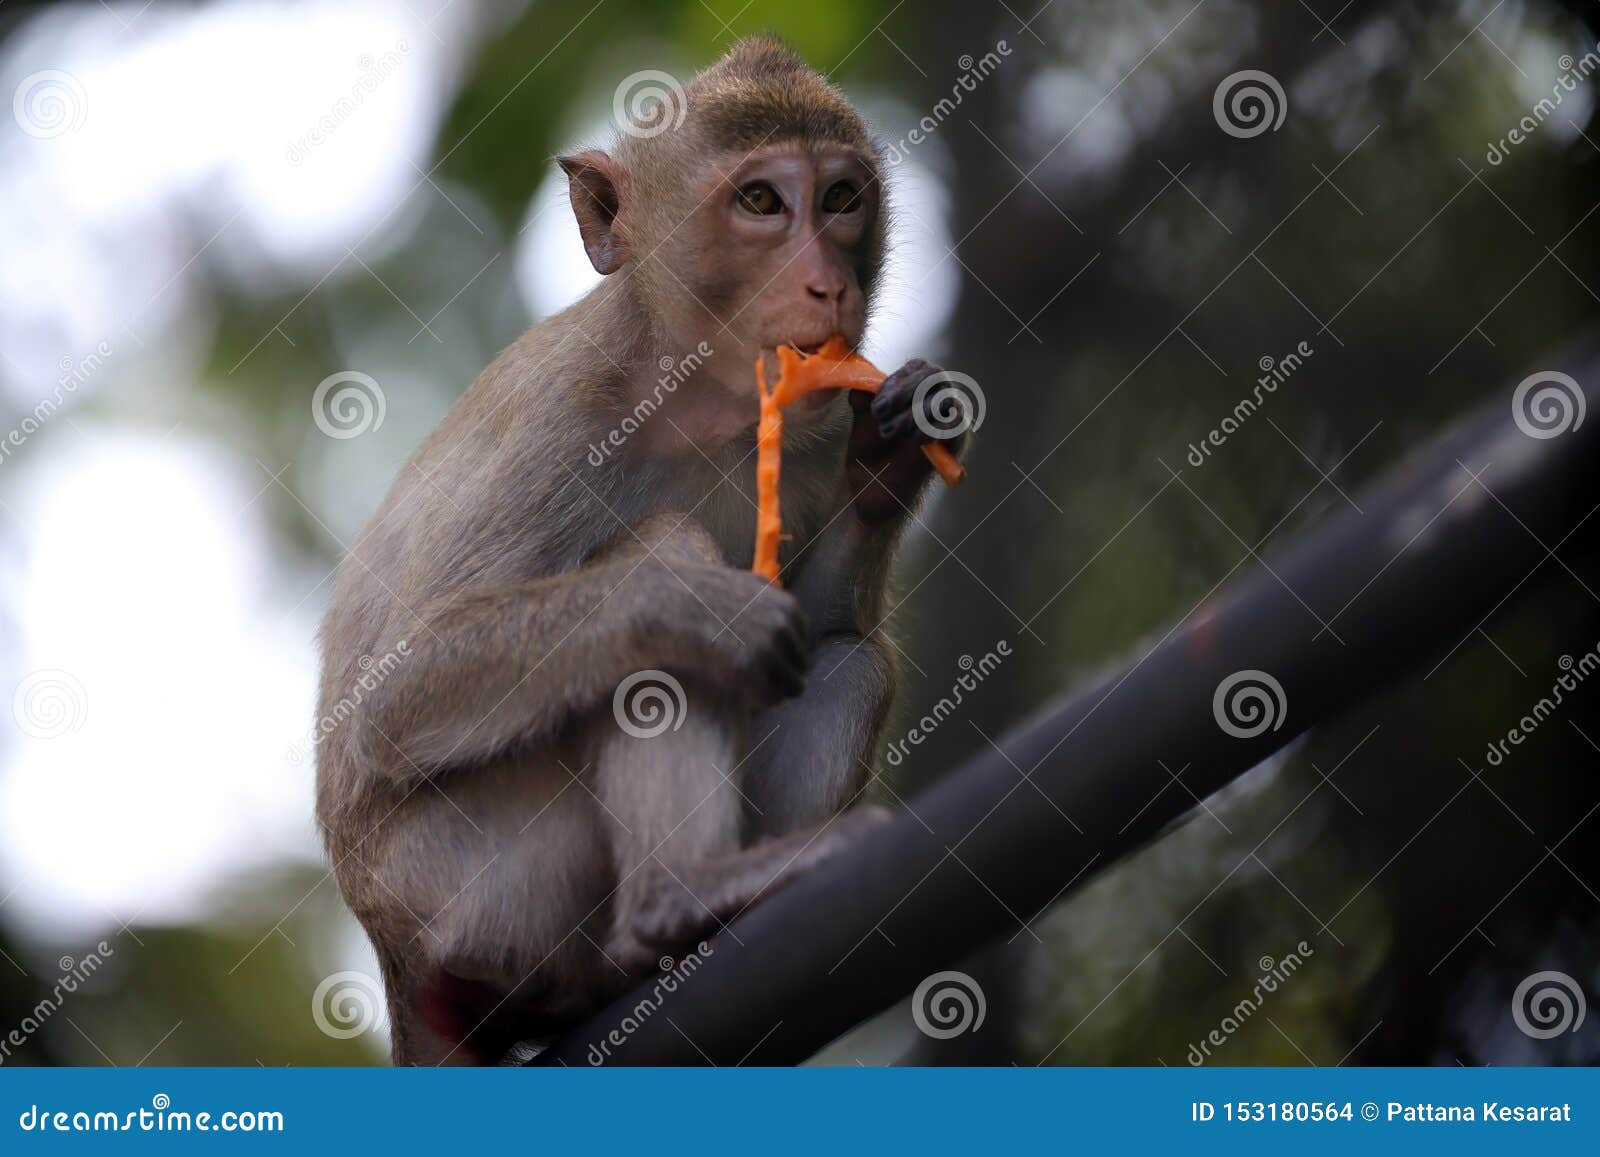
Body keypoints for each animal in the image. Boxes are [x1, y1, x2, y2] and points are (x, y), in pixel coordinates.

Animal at [313, 35, 970, 1065]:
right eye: (761, 201)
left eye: (840, 198)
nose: (830, 284)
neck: (696, 399)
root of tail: (392, 956)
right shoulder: (565, 415)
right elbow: (392, 698)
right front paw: (695, 606)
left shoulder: (813, 421)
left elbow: (817, 619)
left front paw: (892, 450)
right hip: (473, 876)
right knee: (657, 602)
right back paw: (678, 895)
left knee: (846, 657)